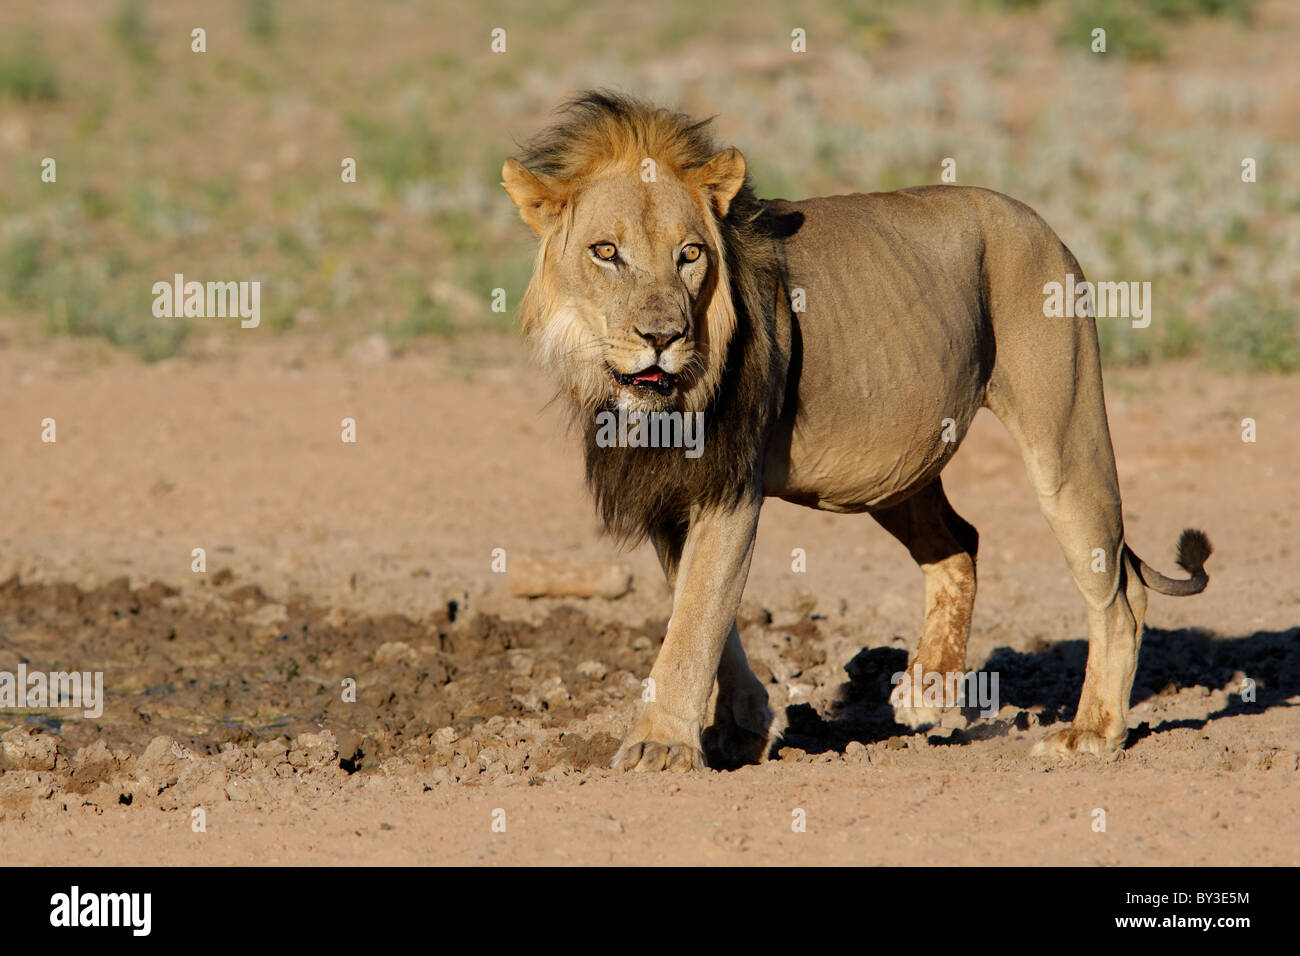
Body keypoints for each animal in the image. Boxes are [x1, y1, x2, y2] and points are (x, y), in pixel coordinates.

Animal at [502, 91, 1211, 772]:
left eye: (689, 255)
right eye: (605, 252)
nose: (663, 337)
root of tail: (1038, 221)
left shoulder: (730, 488)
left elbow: (695, 620)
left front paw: (661, 746)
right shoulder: (667, 496)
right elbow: (705, 615)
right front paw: (745, 727)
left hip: (1064, 433)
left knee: (1120, 594)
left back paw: (1090, 733)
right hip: (894, 468)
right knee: (960, 543)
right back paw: (928, 689)